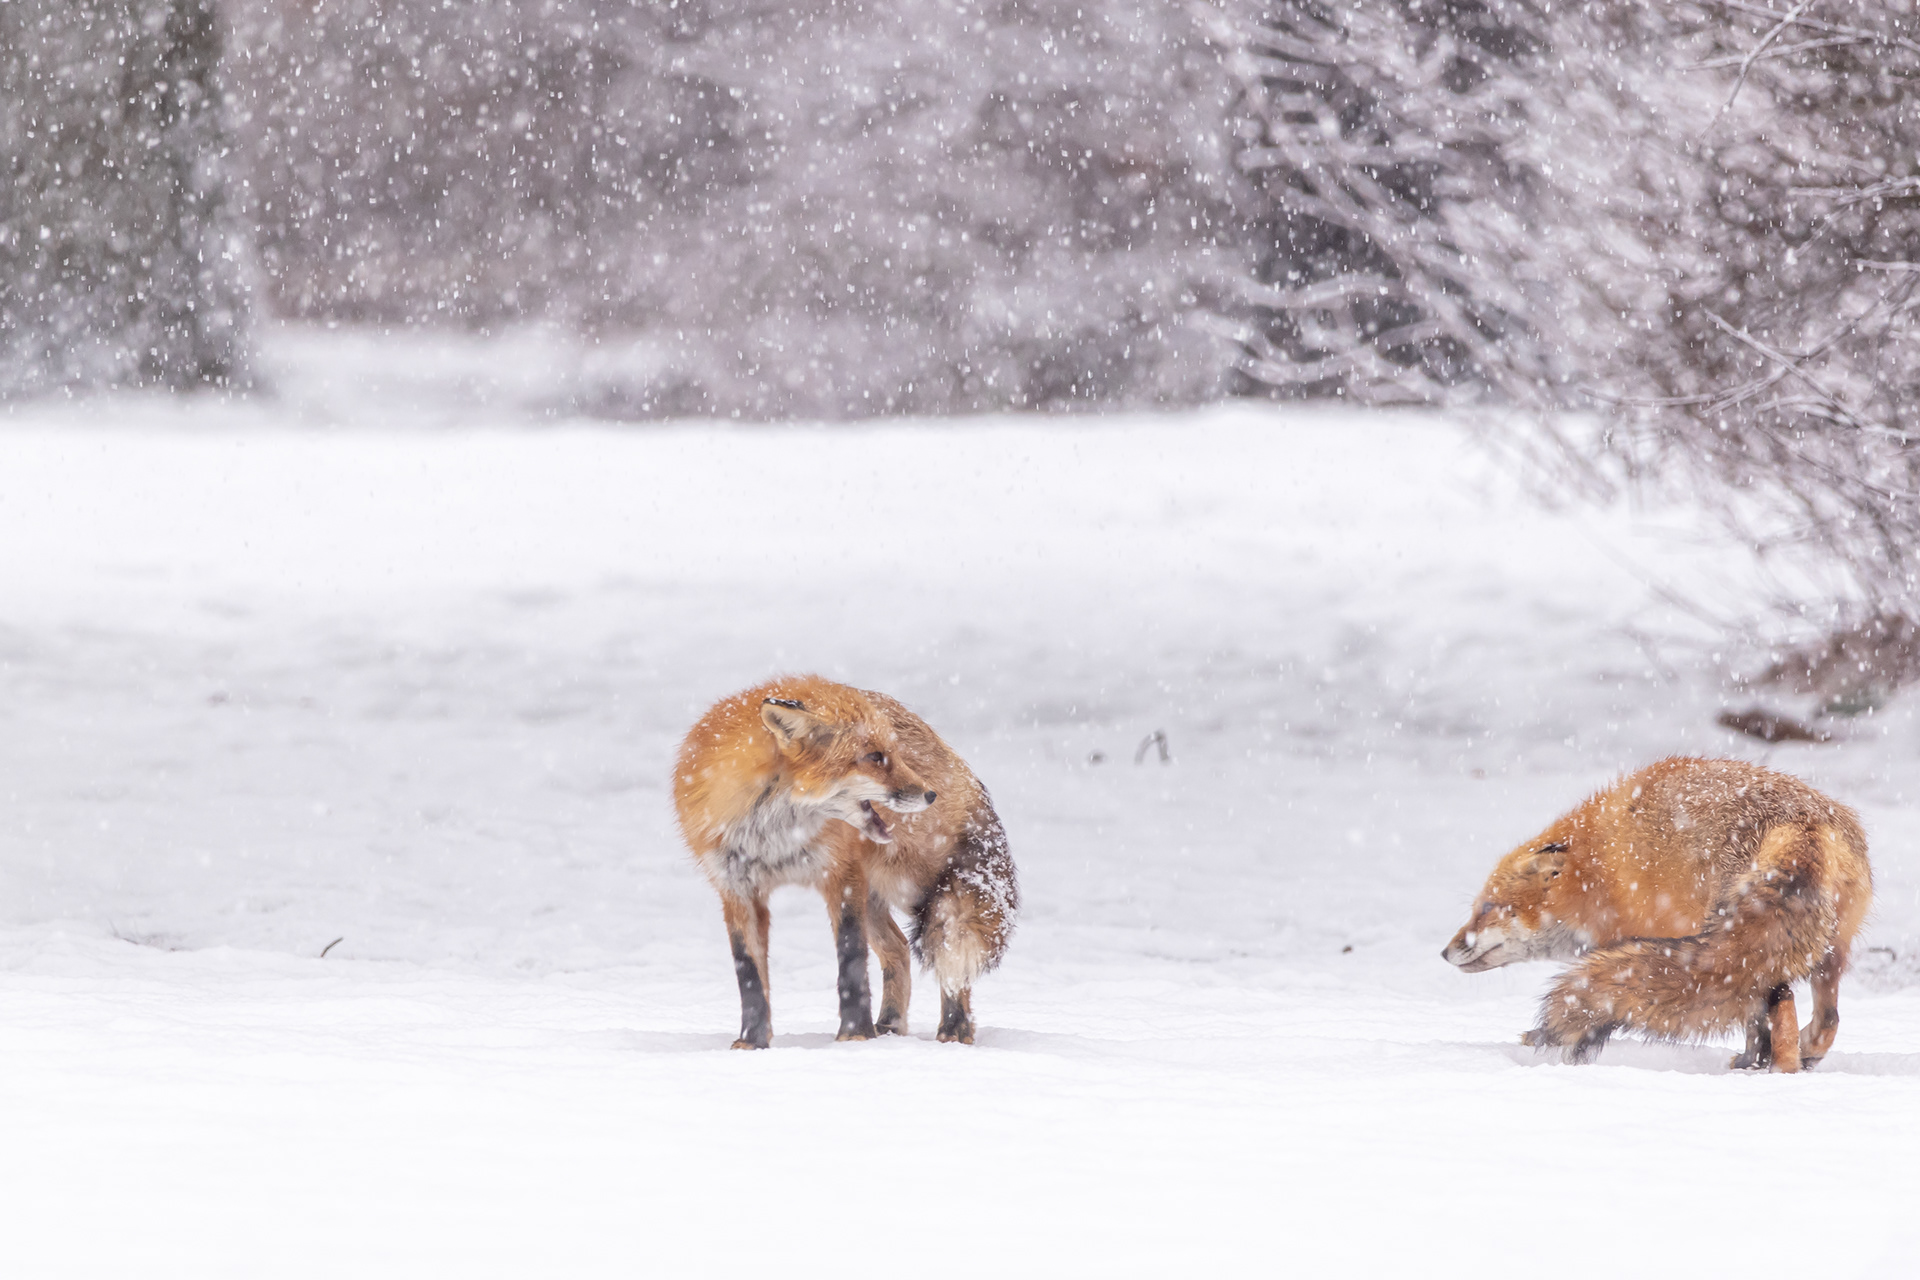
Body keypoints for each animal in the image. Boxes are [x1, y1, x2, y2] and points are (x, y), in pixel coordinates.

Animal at [672, 675, 1019, 1049]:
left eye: (894, 754)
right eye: (874, 757)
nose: (930, 795)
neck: (774, 835)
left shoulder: (841, 874)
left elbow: (850, 960)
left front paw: (854, 1036)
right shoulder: (735, 888)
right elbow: (748, 973)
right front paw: (752, 1042)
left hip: (917, 886)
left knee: (951, 947)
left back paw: (955, 1029)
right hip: (876, 899)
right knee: (899, 948)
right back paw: (890, 1024)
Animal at [1442, 757, 1871, 1072]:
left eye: (1487, 909)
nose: (1445, 952)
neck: (1592, 873)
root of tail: (1802, 824)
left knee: (1777, 1005)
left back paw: (1774, 1068)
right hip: (1822, 951)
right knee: (1824, 1019)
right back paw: (1788, 1059)